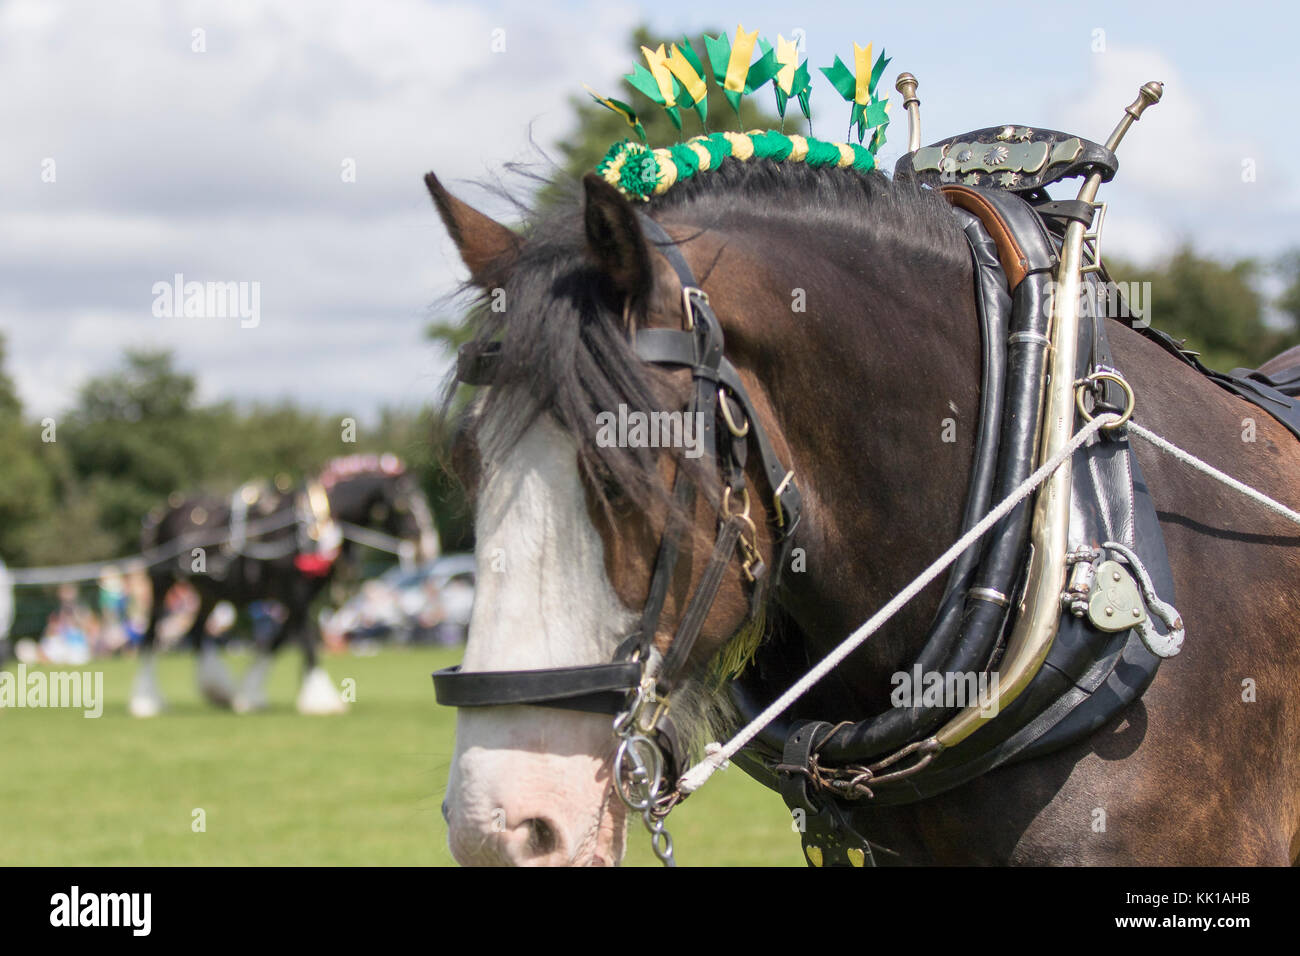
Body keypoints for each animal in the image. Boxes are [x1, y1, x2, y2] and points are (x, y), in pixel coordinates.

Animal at [129, 454, 438, 717]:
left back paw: (219, 691)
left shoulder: (299, 598)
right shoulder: (296, 594)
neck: (313, 523)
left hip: (209, 592)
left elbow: (277, 642)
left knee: (197, 632)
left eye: (425, 501)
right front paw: (321, 699)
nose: (427, 547)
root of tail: (161, 512)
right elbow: (308, 640)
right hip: (161, 583)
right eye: (402, 503)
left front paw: (249, 695)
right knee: (151, 634)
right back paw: (146, 700)